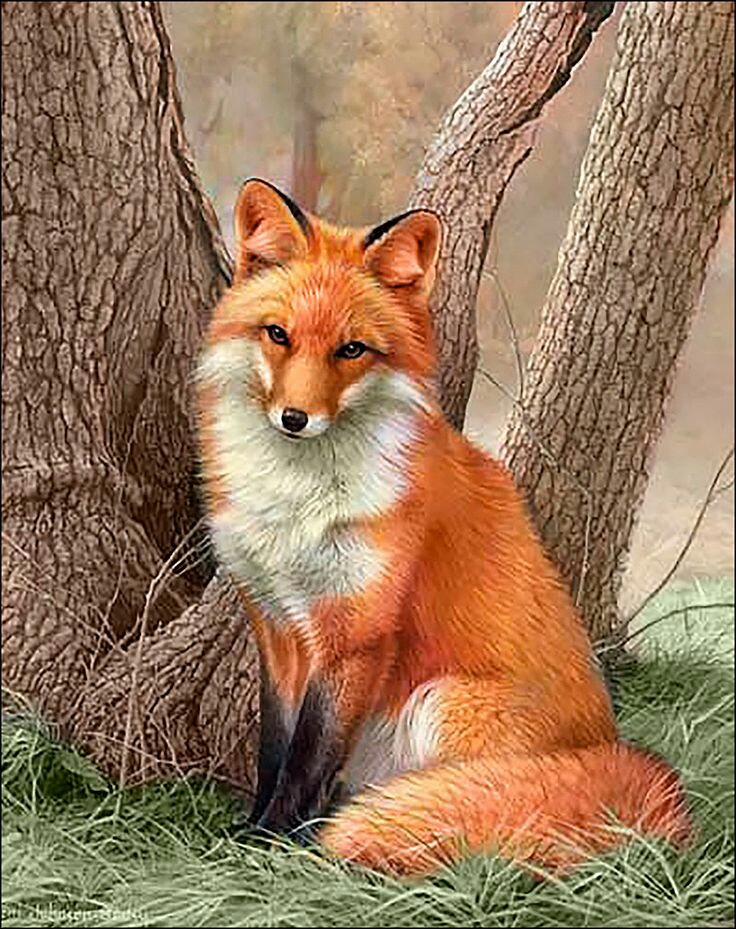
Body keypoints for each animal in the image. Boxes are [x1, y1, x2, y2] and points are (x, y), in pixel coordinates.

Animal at [195, 177, 692, 877]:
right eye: (278, 335)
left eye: (352, 349)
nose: (294, 418)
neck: (297, 507)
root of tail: (615, 753)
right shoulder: (276, 625)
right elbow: (275, 749)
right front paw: (253, 827)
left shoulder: (356, 634)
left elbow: (309, 757)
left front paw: (272, 843)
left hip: (441, 703)